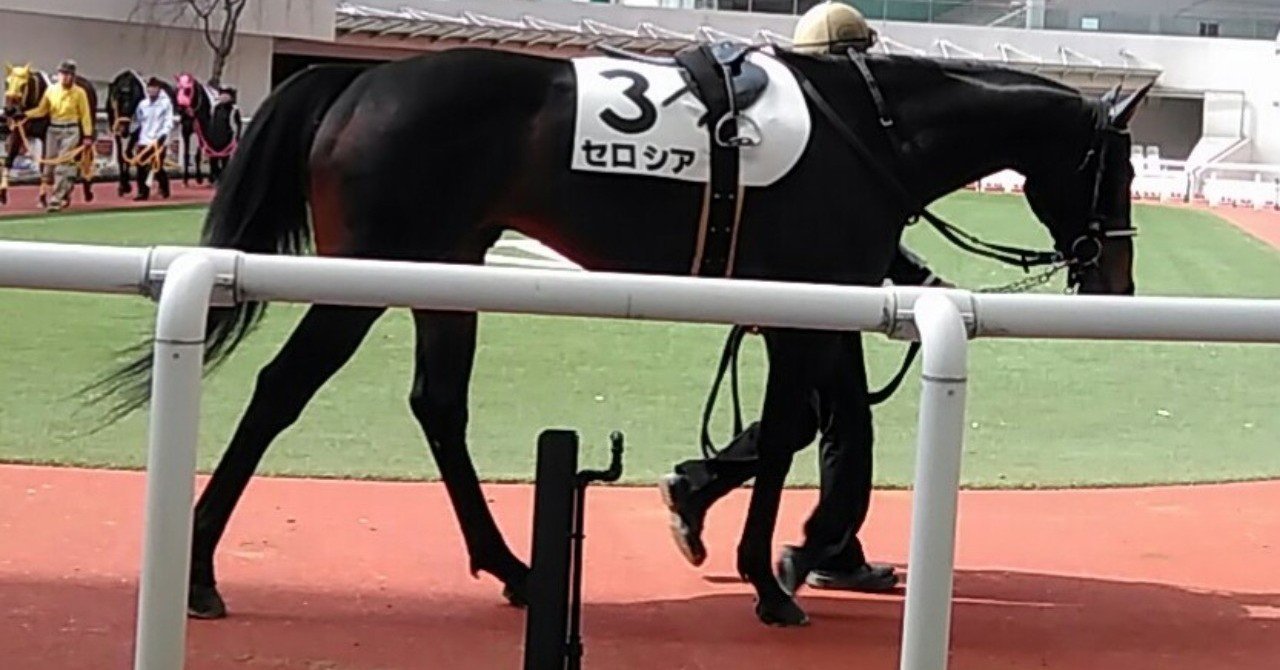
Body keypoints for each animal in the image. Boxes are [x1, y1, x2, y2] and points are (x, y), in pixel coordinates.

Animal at [92, 46, 1147, 627]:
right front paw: (773, 575)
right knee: (284, 390)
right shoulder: (803, 305)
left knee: (439, 406)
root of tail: (352, 85)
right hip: (365, 277)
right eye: (1124, 169)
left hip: (446, 270)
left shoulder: (805, 306)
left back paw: (515, 569)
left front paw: (746, 538)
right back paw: (198, 570)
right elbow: (790, 433)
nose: (1118, 278)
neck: (871, 132)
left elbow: (791, 431)